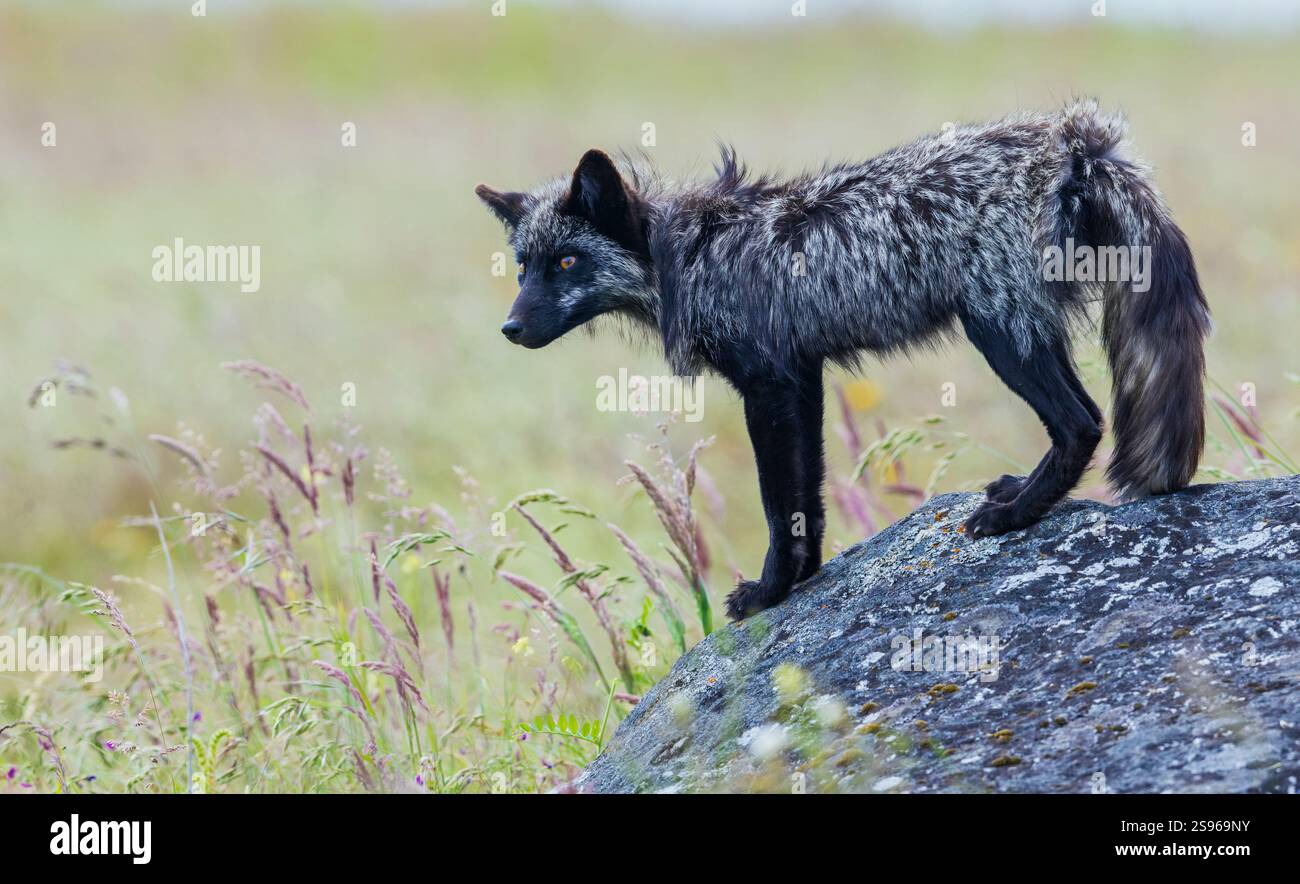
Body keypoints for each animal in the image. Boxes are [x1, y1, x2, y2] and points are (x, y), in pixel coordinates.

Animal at [476, 99, 1210, 621]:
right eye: (523, 266)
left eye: (567, 263)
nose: (509, 329)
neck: (688, 255)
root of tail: (1074, 142)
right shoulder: (800, 378)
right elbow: (808, 498)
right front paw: (801, 578)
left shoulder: (767, 385)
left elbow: (778, 502)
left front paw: (769, 591)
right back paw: (1016, 493)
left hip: (1001, 334)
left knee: (1083, 422)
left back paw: (1013, 515)